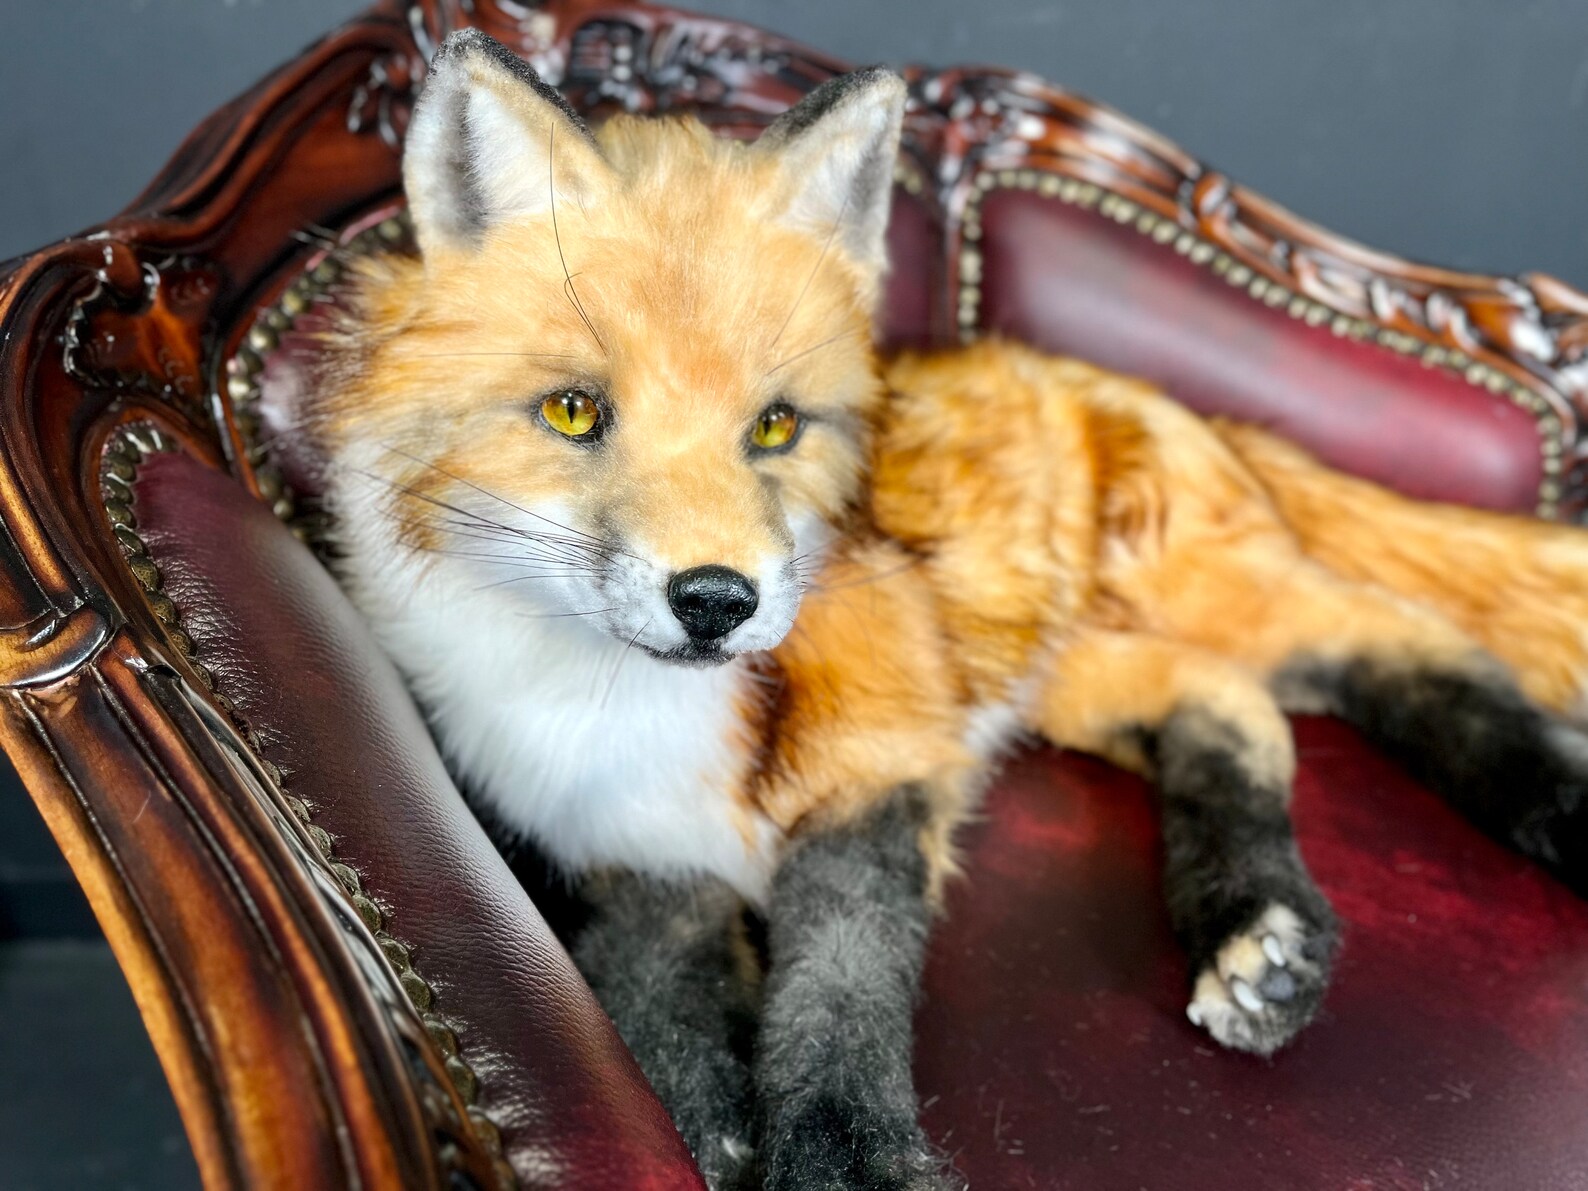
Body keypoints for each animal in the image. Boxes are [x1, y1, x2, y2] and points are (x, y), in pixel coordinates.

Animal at [314, 28, 1588, 1191]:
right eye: (575, 412)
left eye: (774, 427)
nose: (718, 601)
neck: (621, 714)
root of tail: (1113, 381)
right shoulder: (629, 853)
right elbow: (657, 1027)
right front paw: (713, 1135)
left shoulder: (882, 755)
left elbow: (839, 993)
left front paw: (845, 1160)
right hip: (1056, 669)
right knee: (1228, 711)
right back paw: (1256, 920)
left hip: (1230, 602)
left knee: (1418, 648)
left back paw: (1546, 806)